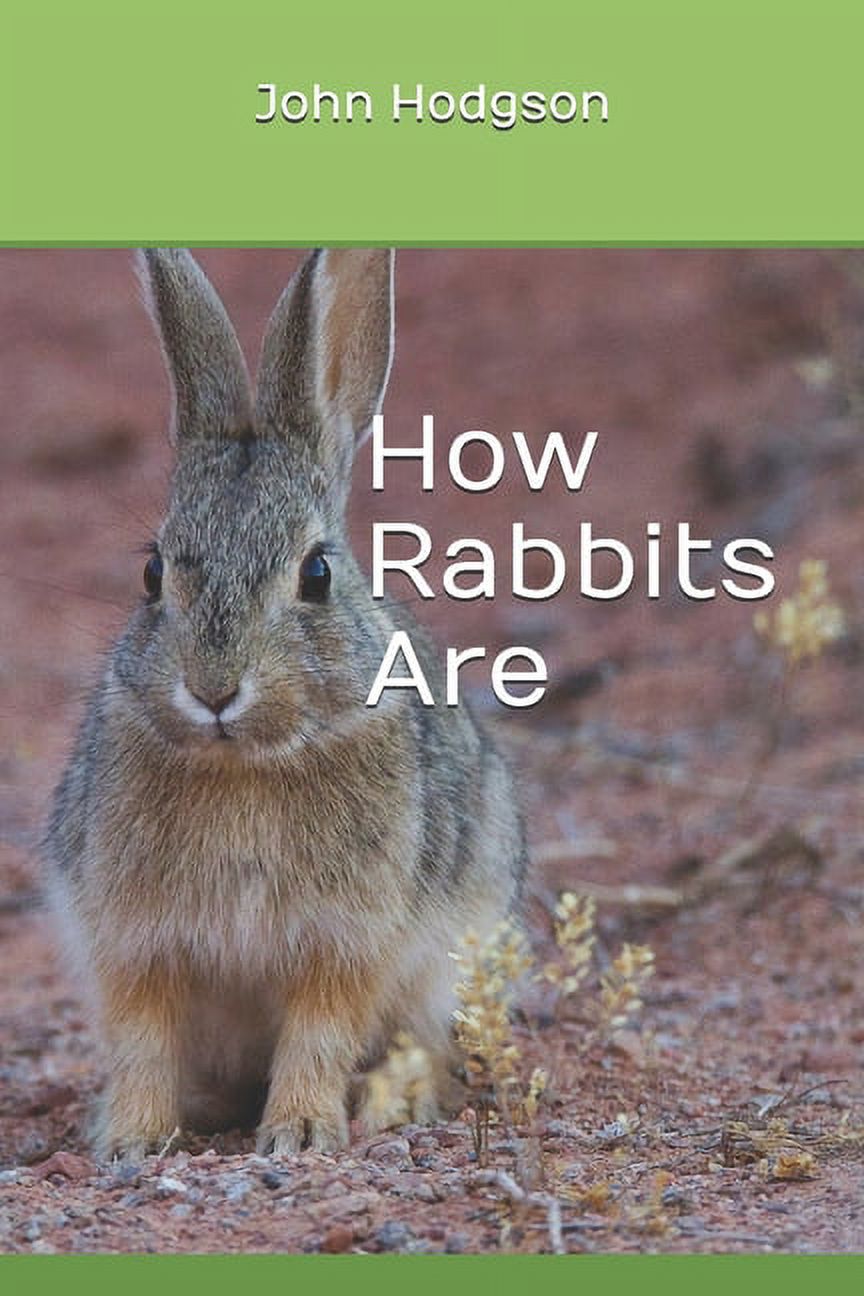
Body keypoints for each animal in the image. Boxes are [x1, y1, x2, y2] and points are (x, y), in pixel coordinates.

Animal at [44, 248, 526, 1161]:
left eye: (317, 573)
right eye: (153, 572)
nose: (213, 690)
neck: (246, 763)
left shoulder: (347, 938)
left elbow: (319, 1032)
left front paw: (301, 1133)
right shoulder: (133, 938)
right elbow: (142, 1039)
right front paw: (131, 1140)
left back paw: (398, 1105)